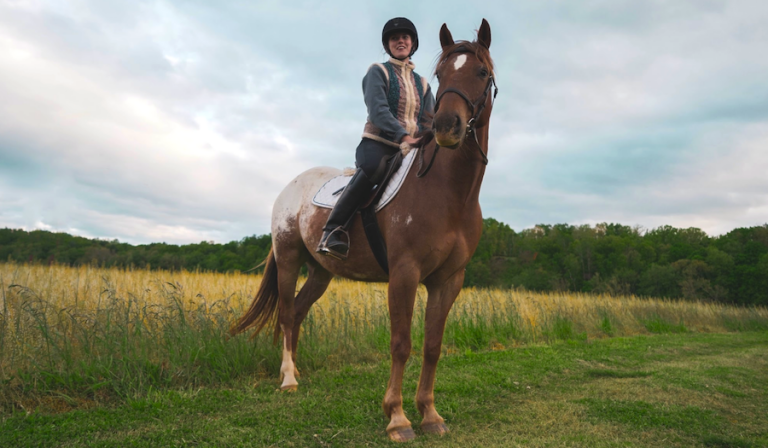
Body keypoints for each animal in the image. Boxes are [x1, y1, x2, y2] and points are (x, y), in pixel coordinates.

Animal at [231, 19, 496, 442]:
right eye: (441, 75)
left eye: (482, 73)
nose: (445, 127)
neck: (448, 191)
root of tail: (290, 186)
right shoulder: (404, 274)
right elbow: (401, 343)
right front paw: (398, 418)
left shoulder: (449, 280)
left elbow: (433, 345)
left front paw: (430, 415)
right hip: (289, 259)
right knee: (287, 314)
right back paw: (288, 379)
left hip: (321, 272)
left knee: (299, 312)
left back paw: (297, 371)